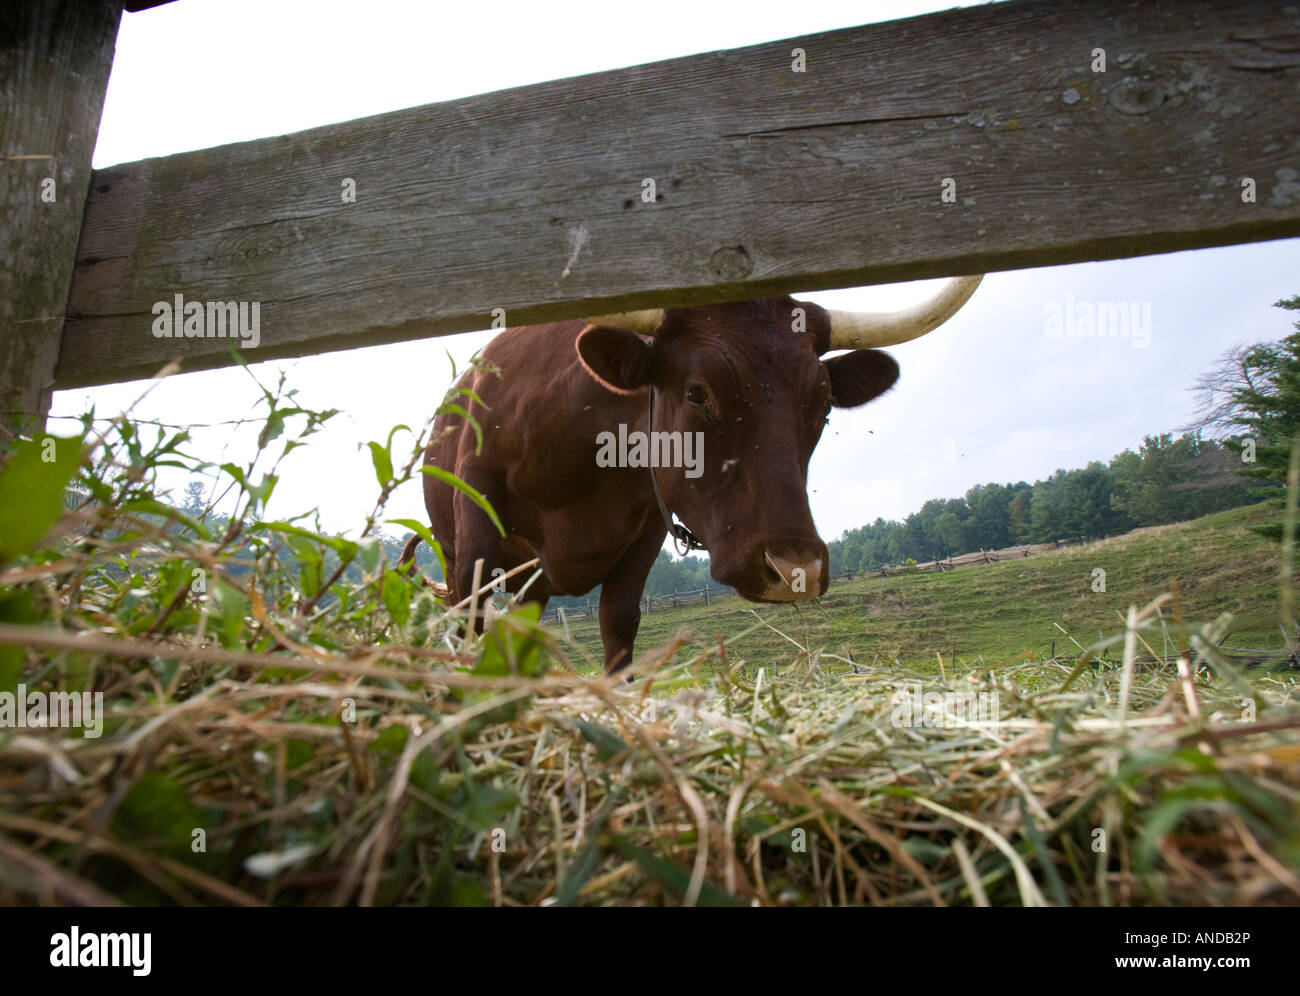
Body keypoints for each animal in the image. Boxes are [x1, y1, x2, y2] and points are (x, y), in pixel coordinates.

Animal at [404, 276, 982, 673]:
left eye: (822, 406)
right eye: (698, 392)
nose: (795, 568)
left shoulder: (645, 533)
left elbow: (618, 624)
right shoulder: (473, 522)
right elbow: (470, 617)